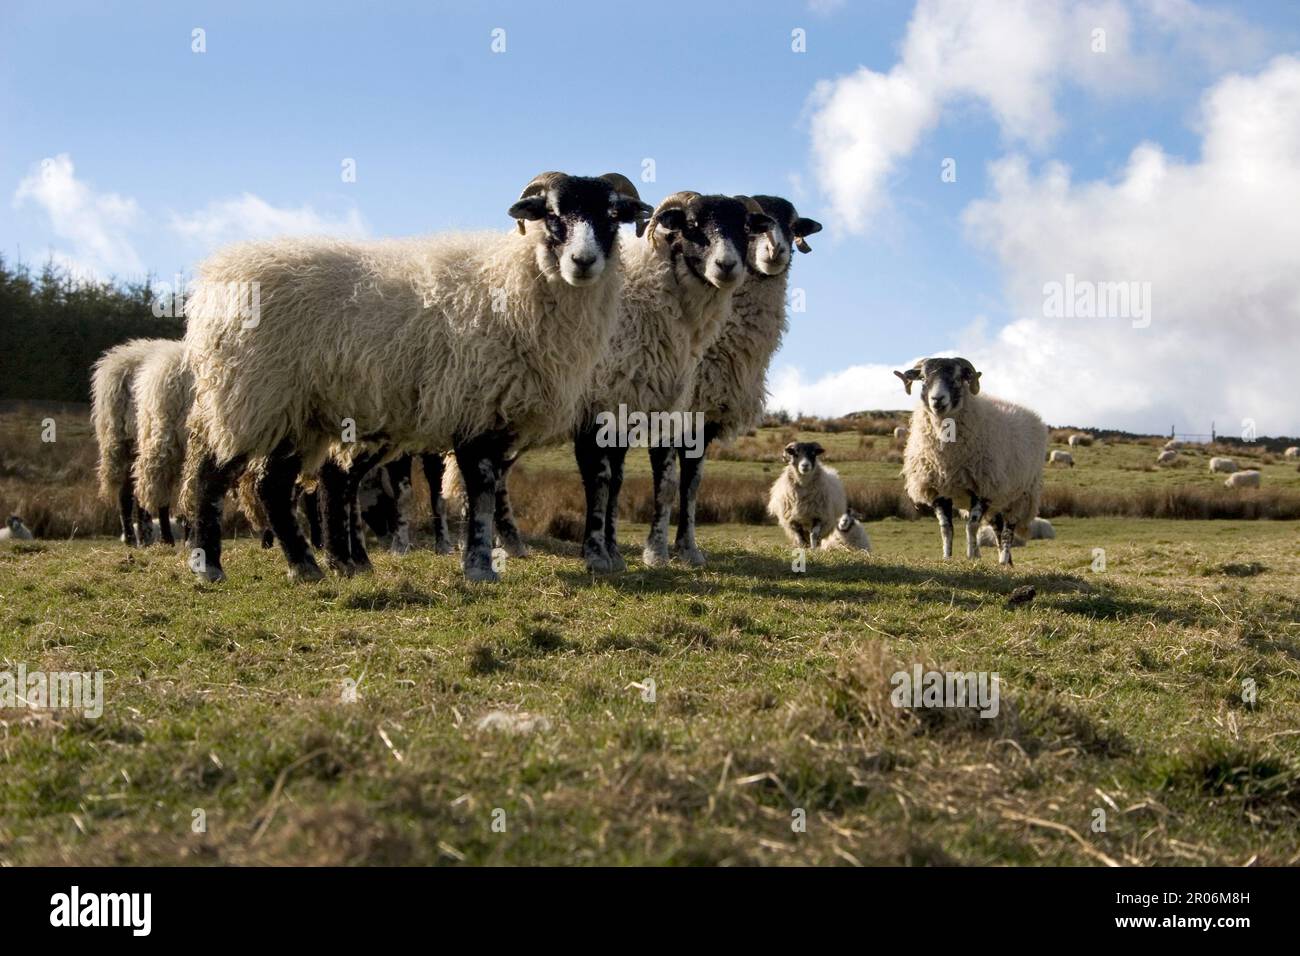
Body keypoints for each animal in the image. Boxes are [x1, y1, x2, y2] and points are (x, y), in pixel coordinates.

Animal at [180, 171, 651, 583]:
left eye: (613, 216)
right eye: (552, 214)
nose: (583, 262)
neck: (517, 283)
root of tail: (217, 278)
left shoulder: (497, 418)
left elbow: (487, 494)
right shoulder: (474, 408)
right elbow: (480, 493)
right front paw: (478, 567)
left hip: (299, 413)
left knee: (275, 486)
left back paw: (308, 566)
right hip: (249, 397)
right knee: (211, 475)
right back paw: (210, 566)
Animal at [572, 191, 776, 573]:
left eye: (744, 227)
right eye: (692, 224)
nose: (727, 266)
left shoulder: (636, 408)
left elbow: (623, 482)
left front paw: (614, 551)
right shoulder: (597, 405)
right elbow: (604, 480)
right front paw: (602, 554)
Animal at [658, 195, 820, 567]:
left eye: (792, 225)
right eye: (753, 227)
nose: (776, 250)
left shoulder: (705, 417)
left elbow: (691, 484)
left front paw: (688, 549)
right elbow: (668, 481)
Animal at [894, 357, 1047, 566]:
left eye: (957, 378)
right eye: (923, 378)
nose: (937, 400)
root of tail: (1034, 417)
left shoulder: (982, 488)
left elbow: (972, 525)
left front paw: (971, 556)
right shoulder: (938, 491)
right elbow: (946, 528)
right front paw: (947, 557)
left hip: (1020, 496)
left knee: (1008, 531)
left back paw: (1003, 560)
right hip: (999, 497)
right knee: (998, 529)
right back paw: (1006, 562)